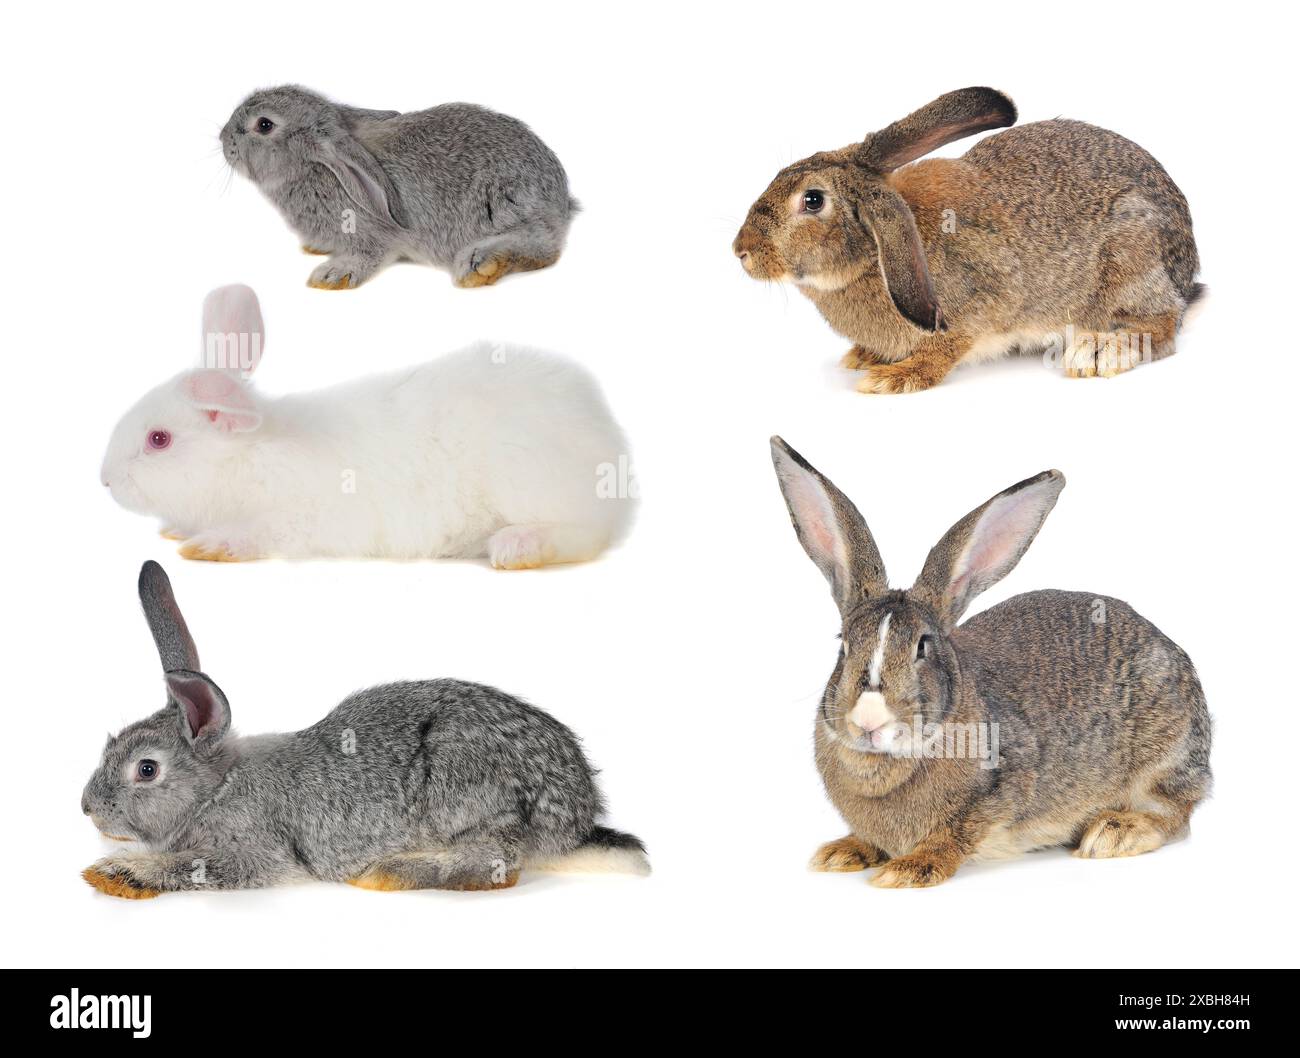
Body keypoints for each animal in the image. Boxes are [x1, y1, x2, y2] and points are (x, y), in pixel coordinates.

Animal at [81, 561, 650, 898]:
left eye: (146, 769)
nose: (87, 809)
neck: (215, 788)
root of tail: (576, 815)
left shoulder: (255, 850)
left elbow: (197, 867)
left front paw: (119, 874)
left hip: (466, 789)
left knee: (495, 865)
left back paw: (389, 872)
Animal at [100, 284, 636, 568]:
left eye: (158, 439)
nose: (105, 480)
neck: (246, 456)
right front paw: (175, 532)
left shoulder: (297, 517)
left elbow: (259, 533)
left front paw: (211, 545)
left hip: (526, 478)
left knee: (585, 533)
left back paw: (518, 546)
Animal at [220, 85, 577, 289]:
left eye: (264, 125)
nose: (224, 140)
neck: (317, 167)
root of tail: (561, 197)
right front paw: (316, 248)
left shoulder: (371, 234)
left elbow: (370, 255)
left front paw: (333, 275)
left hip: (504, 203)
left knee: (544, 246)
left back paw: (481, 263)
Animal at [734, 88, 1203, 394]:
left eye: (812, 200)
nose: (741, 251)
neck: (876, 253)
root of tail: (1186, 265)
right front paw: (865, 357)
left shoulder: (981, 300)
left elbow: (946, 348)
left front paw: (893, 377)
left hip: (1129, 262)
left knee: (1162, 325)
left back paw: (1101, 350)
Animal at [769, 437, 1211, 887]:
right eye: (843, 646)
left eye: (922, 647)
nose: (868, 720)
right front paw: (843, 852)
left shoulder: (990, 798)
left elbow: (953, 836)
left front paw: (907, 870)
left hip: (1164, 756)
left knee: (1176, 814)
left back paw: (1114, 834)